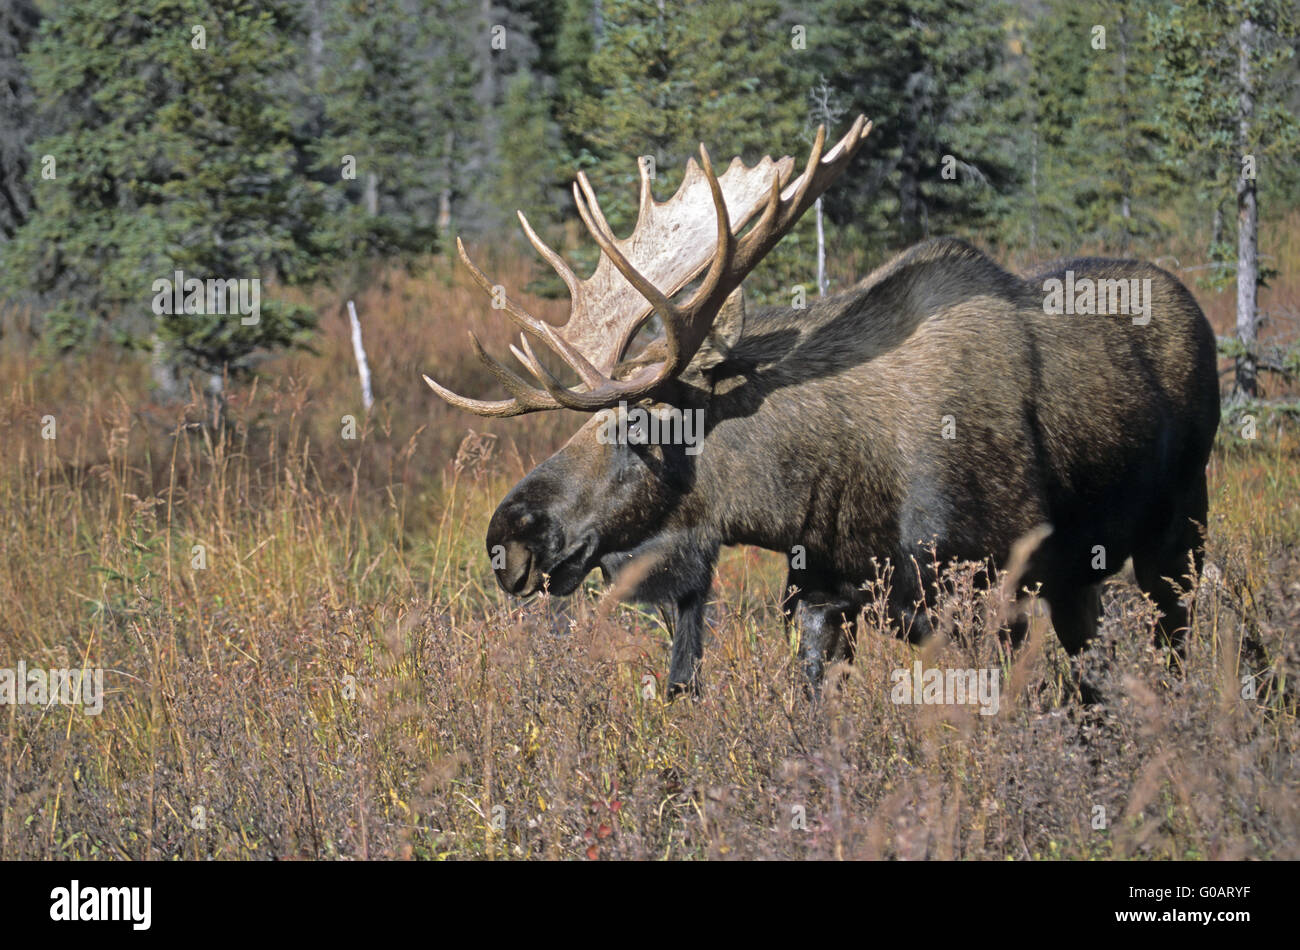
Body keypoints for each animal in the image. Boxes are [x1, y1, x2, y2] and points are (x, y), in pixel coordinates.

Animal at [424, 116, 1219, 702]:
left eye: (637, 426)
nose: (508, 536)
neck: (823, 487)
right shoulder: (821, 596)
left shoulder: (988, 594)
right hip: (1082, 575)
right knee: (1094, 680)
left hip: (1178, 533)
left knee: (1174, 648)